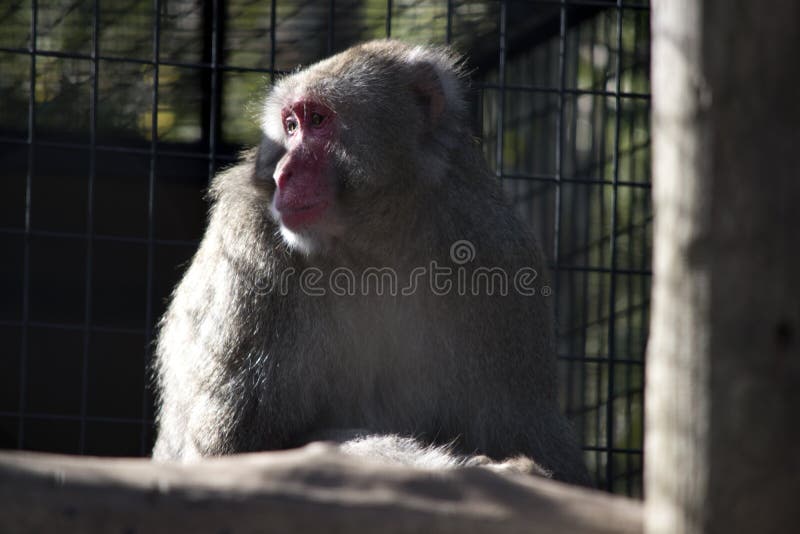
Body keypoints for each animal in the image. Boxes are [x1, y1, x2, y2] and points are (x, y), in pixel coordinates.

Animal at [152, 40, 590, 486]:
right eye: (290, 126)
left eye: (317, 120)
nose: (282, 173)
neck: (376, 244)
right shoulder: (251, 243)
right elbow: (230, 452)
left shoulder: (500, 250)